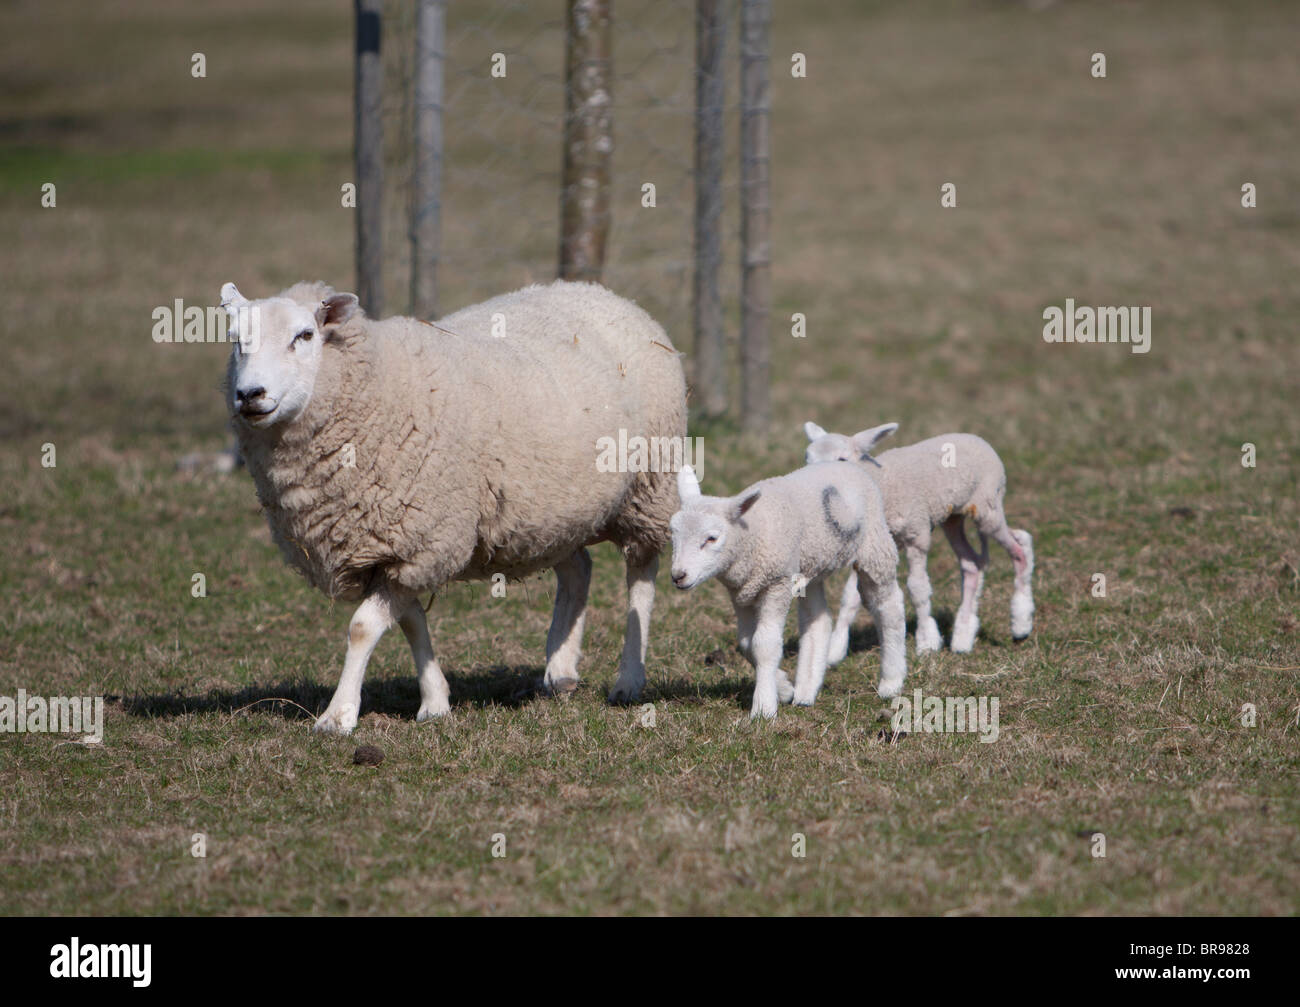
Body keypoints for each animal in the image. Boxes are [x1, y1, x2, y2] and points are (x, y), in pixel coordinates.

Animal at [221, 279, 687, 735]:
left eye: (304, 335)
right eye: (236, 339)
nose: (250, 394)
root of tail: (605, 293)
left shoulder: (419, 538)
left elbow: (362, 628)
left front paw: (338, 716)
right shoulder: (400, 545)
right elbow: (409, 622)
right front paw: (435, 702)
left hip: (648, 485)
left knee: (640, 577)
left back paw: (628, 680)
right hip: (549, 512)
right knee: (578, 569)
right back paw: (561, 671)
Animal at [669, 463, 907, 718]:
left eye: (711, 538)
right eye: (673, 535)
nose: (678, 576)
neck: (752, 534)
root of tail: (845, 464)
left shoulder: (777, 582)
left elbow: (765, 644)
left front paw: (764, 707)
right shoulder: (742, 593)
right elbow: (746, 643)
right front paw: (783, 688)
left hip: (874, 545)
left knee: (889, 607)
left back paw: (891, 681)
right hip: (812, 566)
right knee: (818, 621)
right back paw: (806, 691)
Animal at [803, 422, 1034, 658]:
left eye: (842, 459)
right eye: (807, 460)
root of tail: (976, 438)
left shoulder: (917, 534)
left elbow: (918, 588)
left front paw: (927, 642)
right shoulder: (870, 548)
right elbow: (850, 597)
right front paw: (835, 648)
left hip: (987, 504)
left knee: (1019, 546)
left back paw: (1021, 623)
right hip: (953, 517)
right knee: (972, 563)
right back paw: (963, 636)